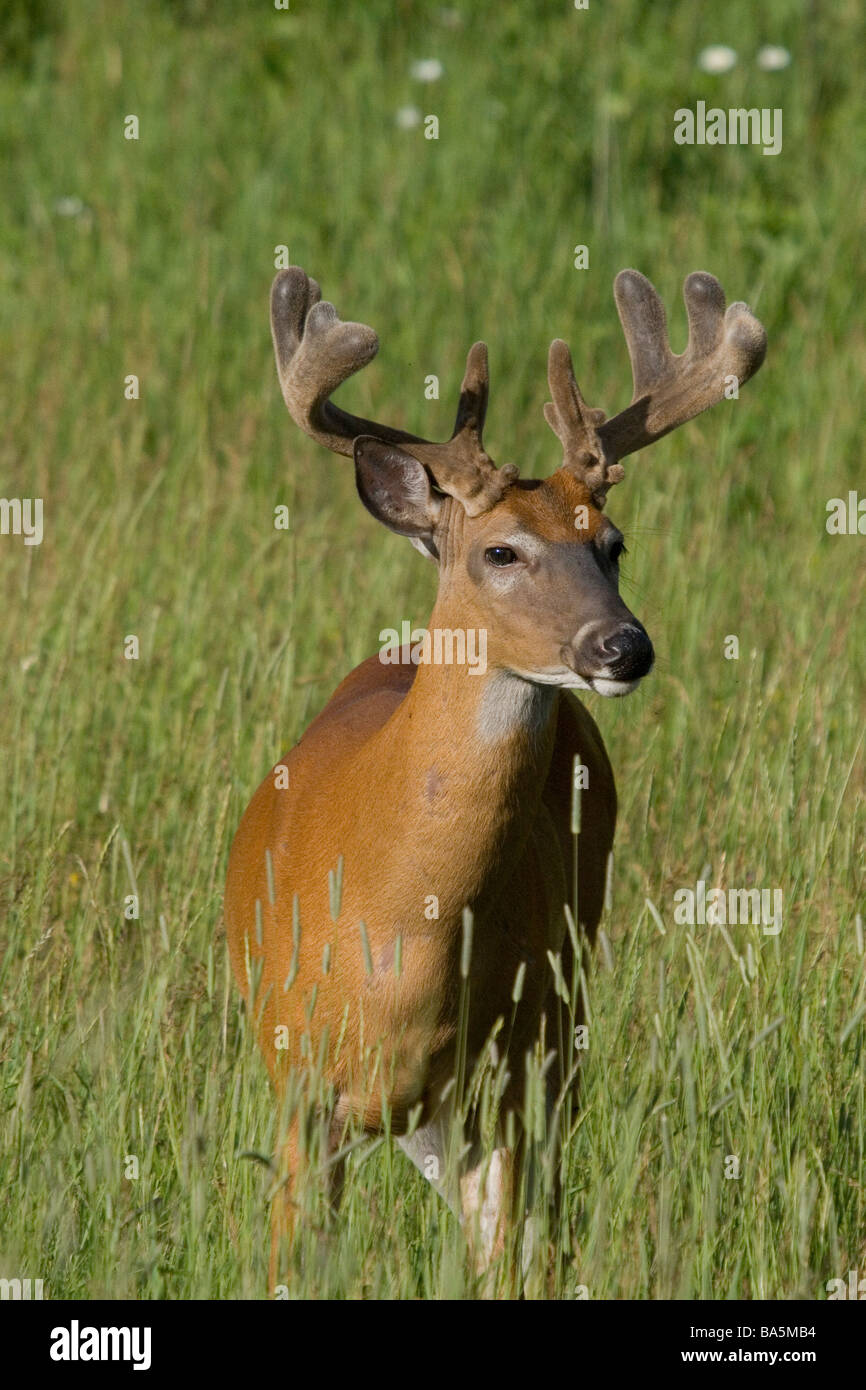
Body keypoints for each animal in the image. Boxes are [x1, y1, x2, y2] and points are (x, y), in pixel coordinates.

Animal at [224, 263, 766, 1292]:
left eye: (614, 543)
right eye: (501, 551)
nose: (623, 645)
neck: (395, 931)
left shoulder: (508, 1077)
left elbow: (509, 1261)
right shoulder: (296, 1076)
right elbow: (289, 1262)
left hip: (561, 1024)